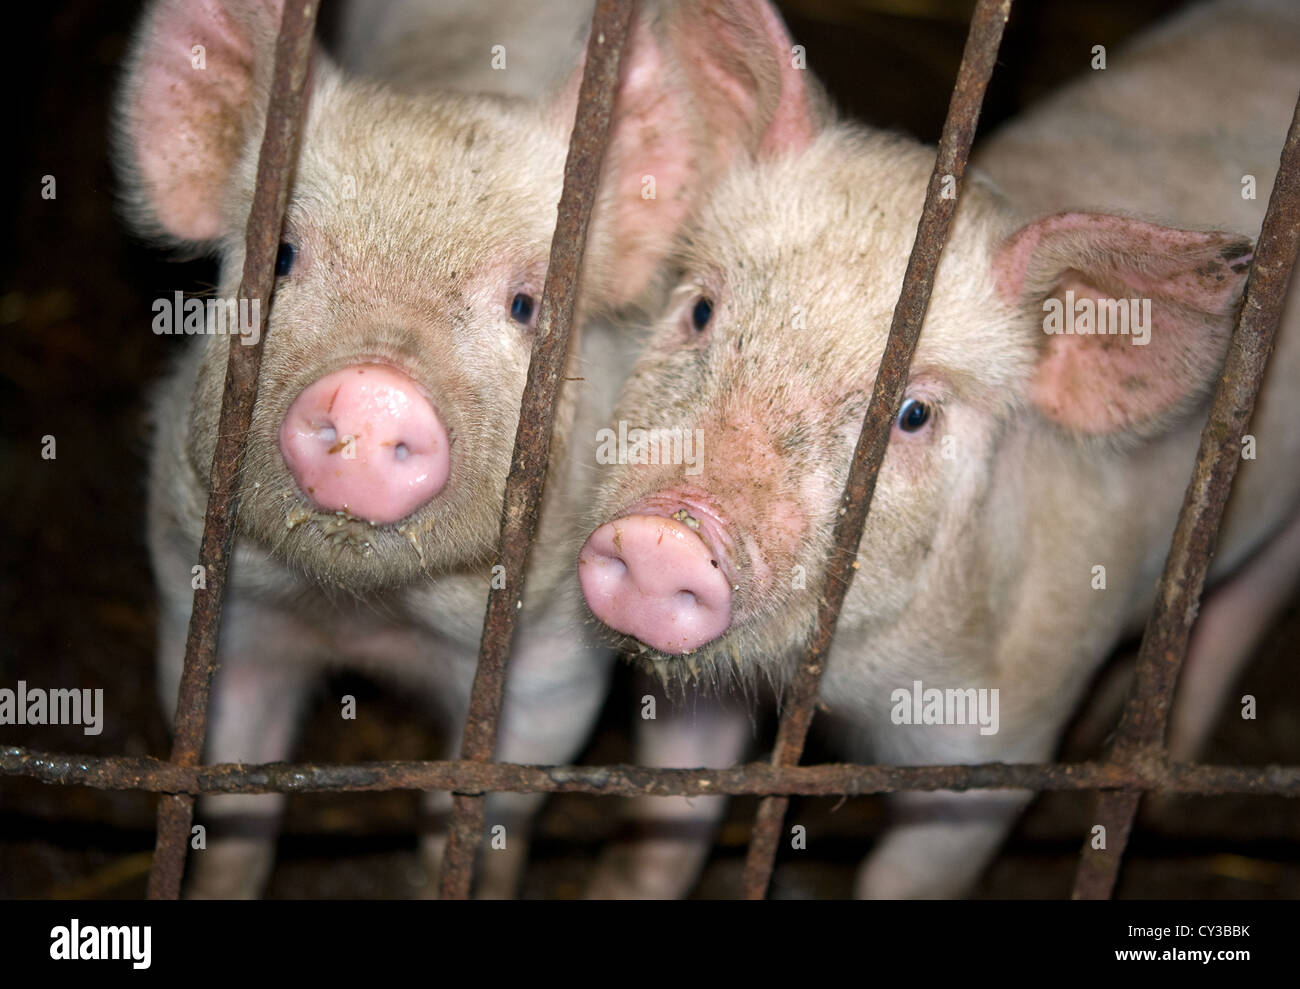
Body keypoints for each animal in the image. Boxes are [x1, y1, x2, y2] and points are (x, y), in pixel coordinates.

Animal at [115, 0, 761, 897]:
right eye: (281, 257)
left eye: (525, 303)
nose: (374, 388)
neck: (369, 617)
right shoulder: (202, 592)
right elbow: (237, 790)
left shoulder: (551, 658)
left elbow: (485, 797)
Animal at [579, 0, 1300, 898]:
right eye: (703, 310)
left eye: (914, 413)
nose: (665, 536)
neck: (843, 683)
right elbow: (666, 824)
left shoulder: (1003, 740)